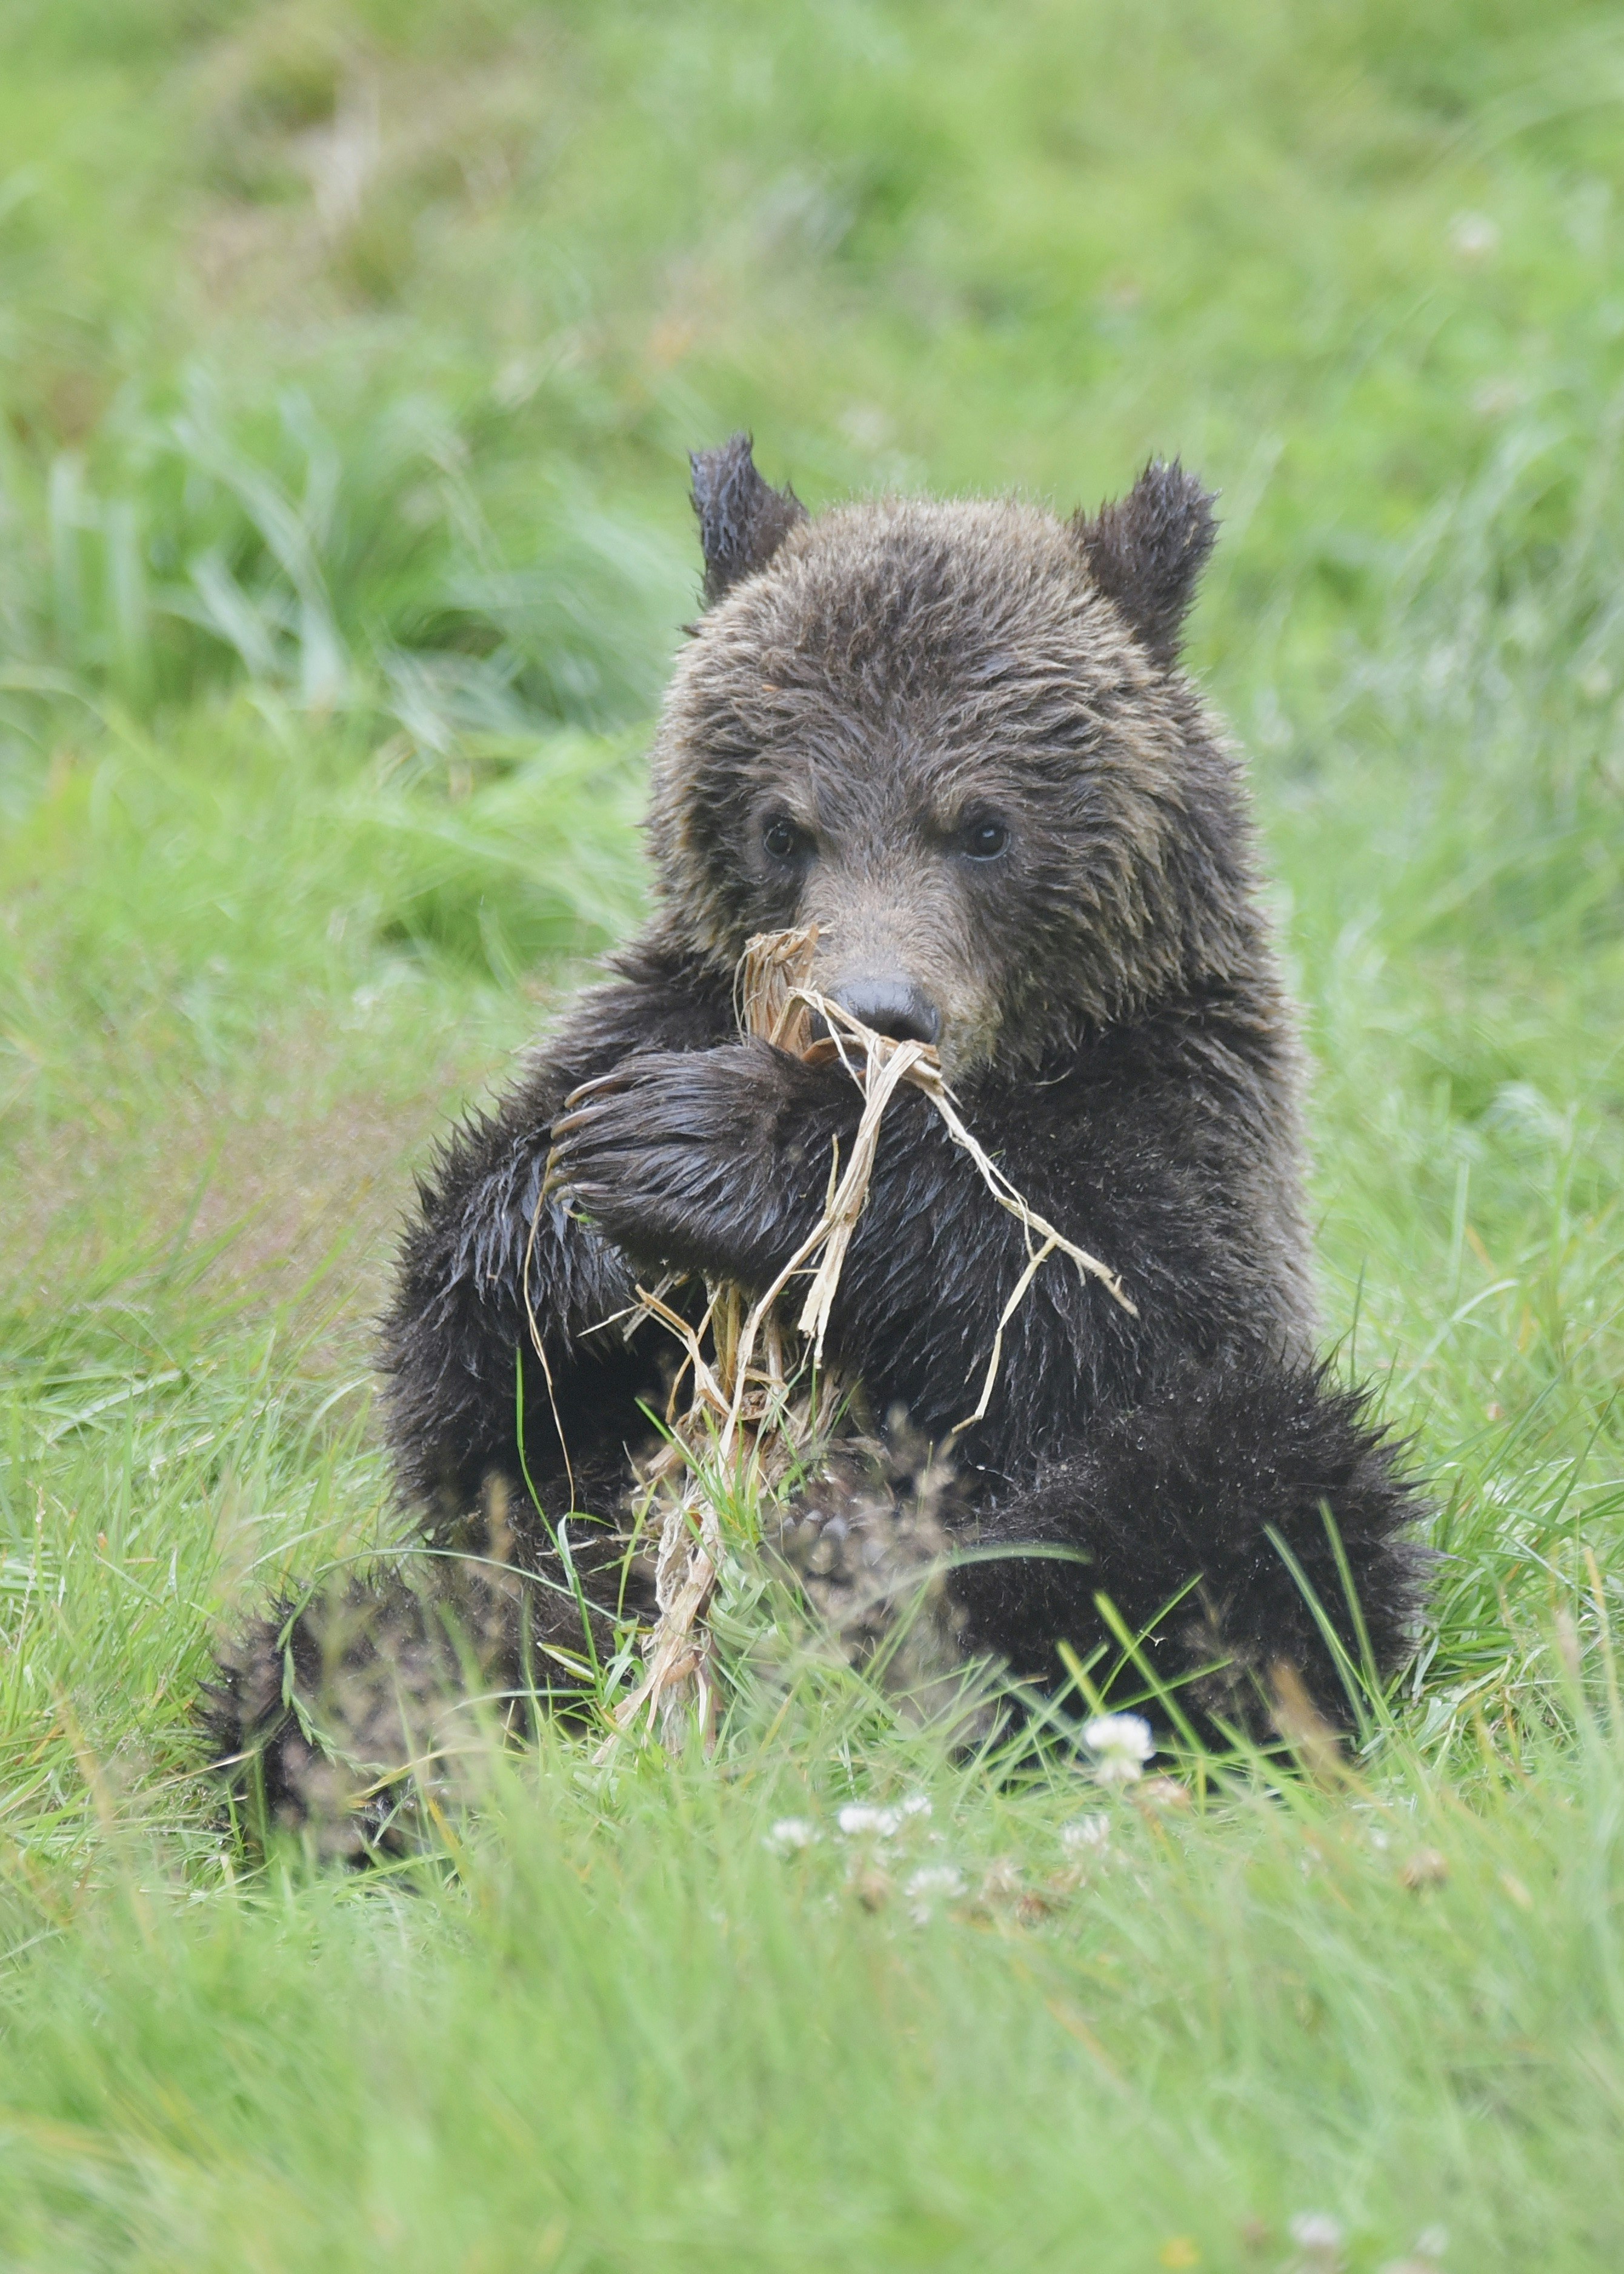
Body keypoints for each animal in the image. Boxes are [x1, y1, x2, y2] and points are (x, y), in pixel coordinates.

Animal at [206, 436, 1425, 1847]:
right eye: (784, 825)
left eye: (983, 823)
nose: (876, 1010)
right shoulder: (639, 1020)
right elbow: (473, 1420)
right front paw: (568, 1233)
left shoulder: (1184, 1107)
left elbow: (1109, 1312)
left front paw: (718, 1149)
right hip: (585, 1599)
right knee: (393, 1631)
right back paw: (363, 1741)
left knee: (1251, 1493)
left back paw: (906, 1586)